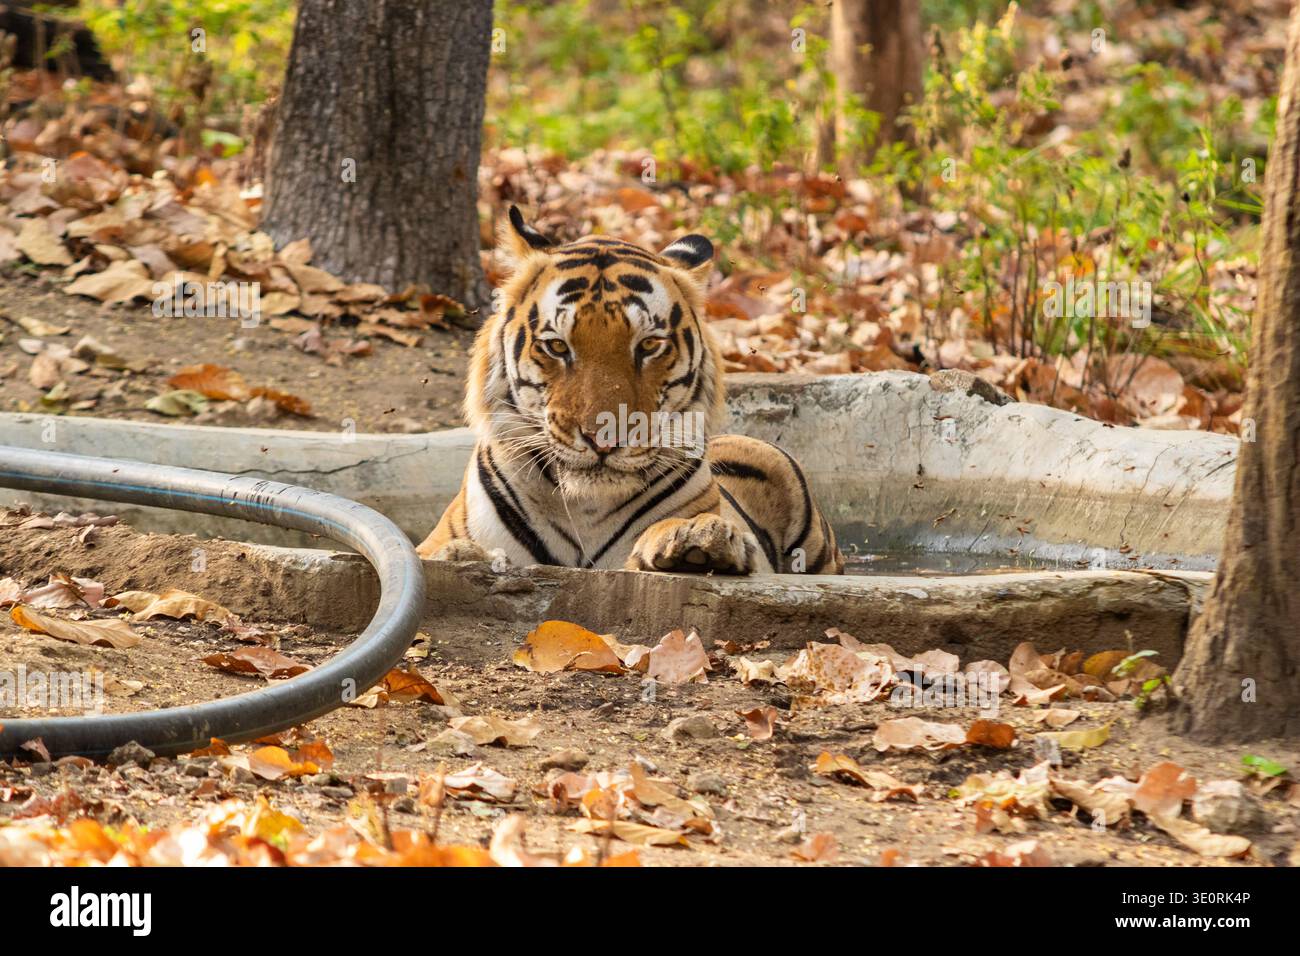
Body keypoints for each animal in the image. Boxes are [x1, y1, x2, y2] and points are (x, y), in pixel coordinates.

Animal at [416, 206, 843, 576]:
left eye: (649, 345)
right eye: (557, 346)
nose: (603, 438)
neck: (585, 507)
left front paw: (694, 538)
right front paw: (463, 554)